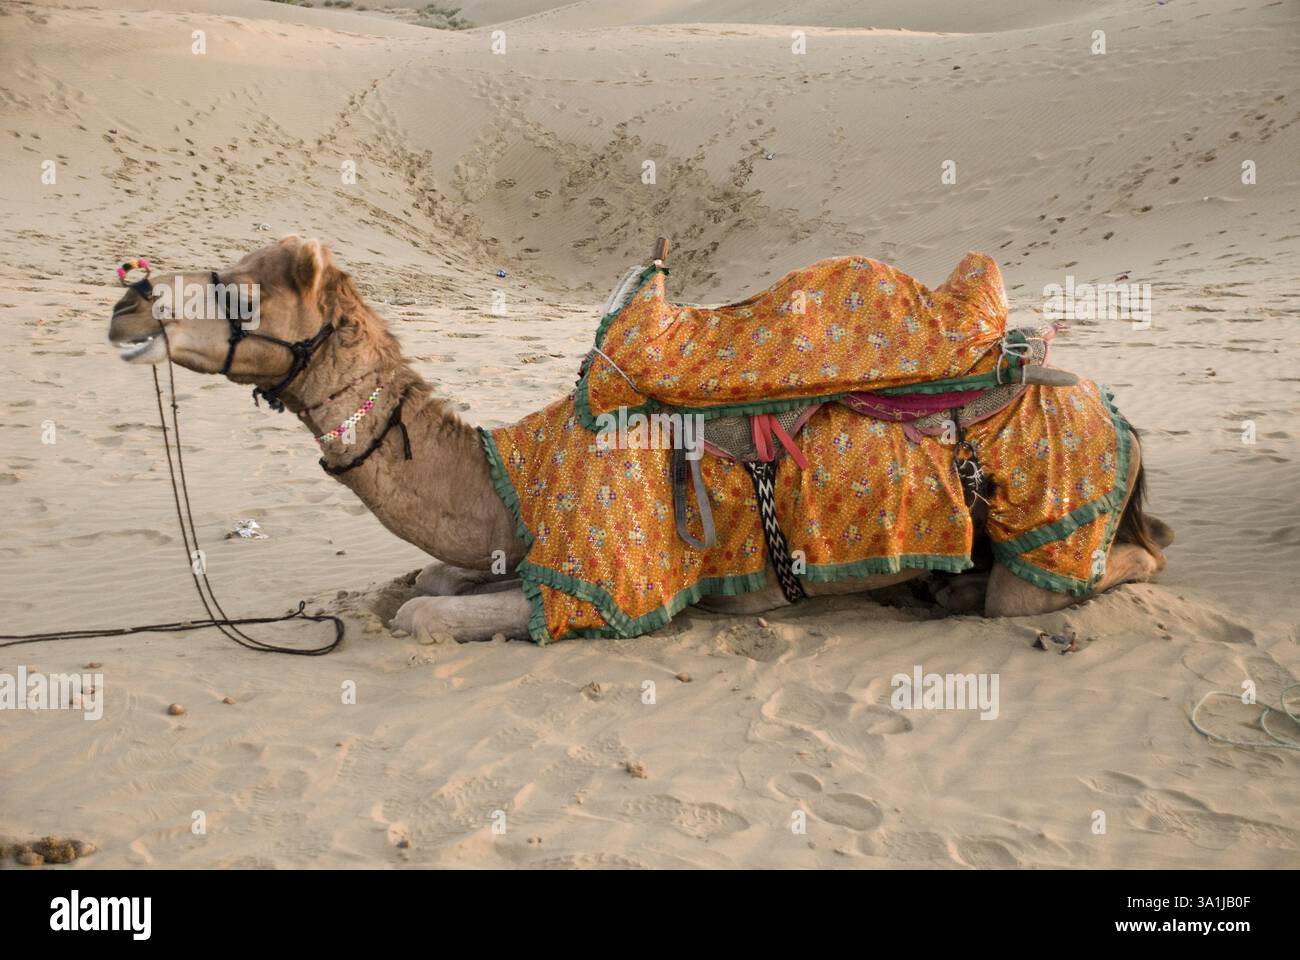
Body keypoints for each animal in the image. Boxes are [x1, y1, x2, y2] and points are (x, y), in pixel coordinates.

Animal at [107, 236, 1172, 644]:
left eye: (242, 290)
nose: (131, 301)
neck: (513, 469)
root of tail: (1116, 412)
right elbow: (422, 579)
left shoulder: (599, 587)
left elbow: (422, 614)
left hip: (1046, 527)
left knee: (1105, 569)